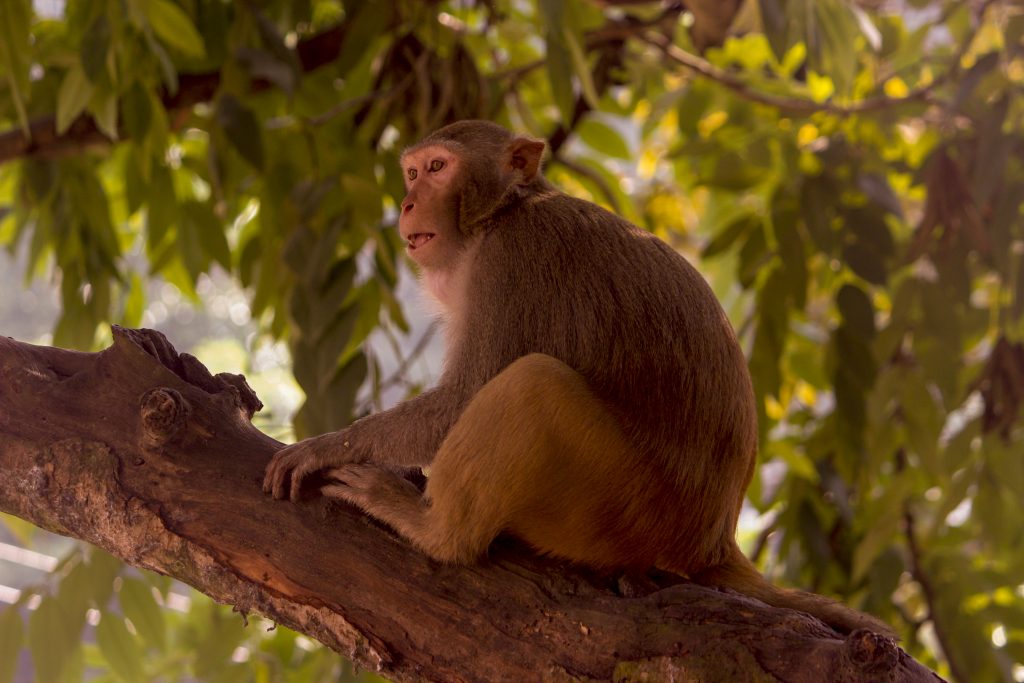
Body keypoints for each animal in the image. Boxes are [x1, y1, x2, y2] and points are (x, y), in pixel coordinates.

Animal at [263, 120, 895, 638]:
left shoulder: (511, 261)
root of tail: (712, 541)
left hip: (622, 509)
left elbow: (465, 397)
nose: (408, 201)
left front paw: (324, 448)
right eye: (414, 171)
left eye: (438, 168)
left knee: (533, 384)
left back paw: (434, 530)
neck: (503, 213)